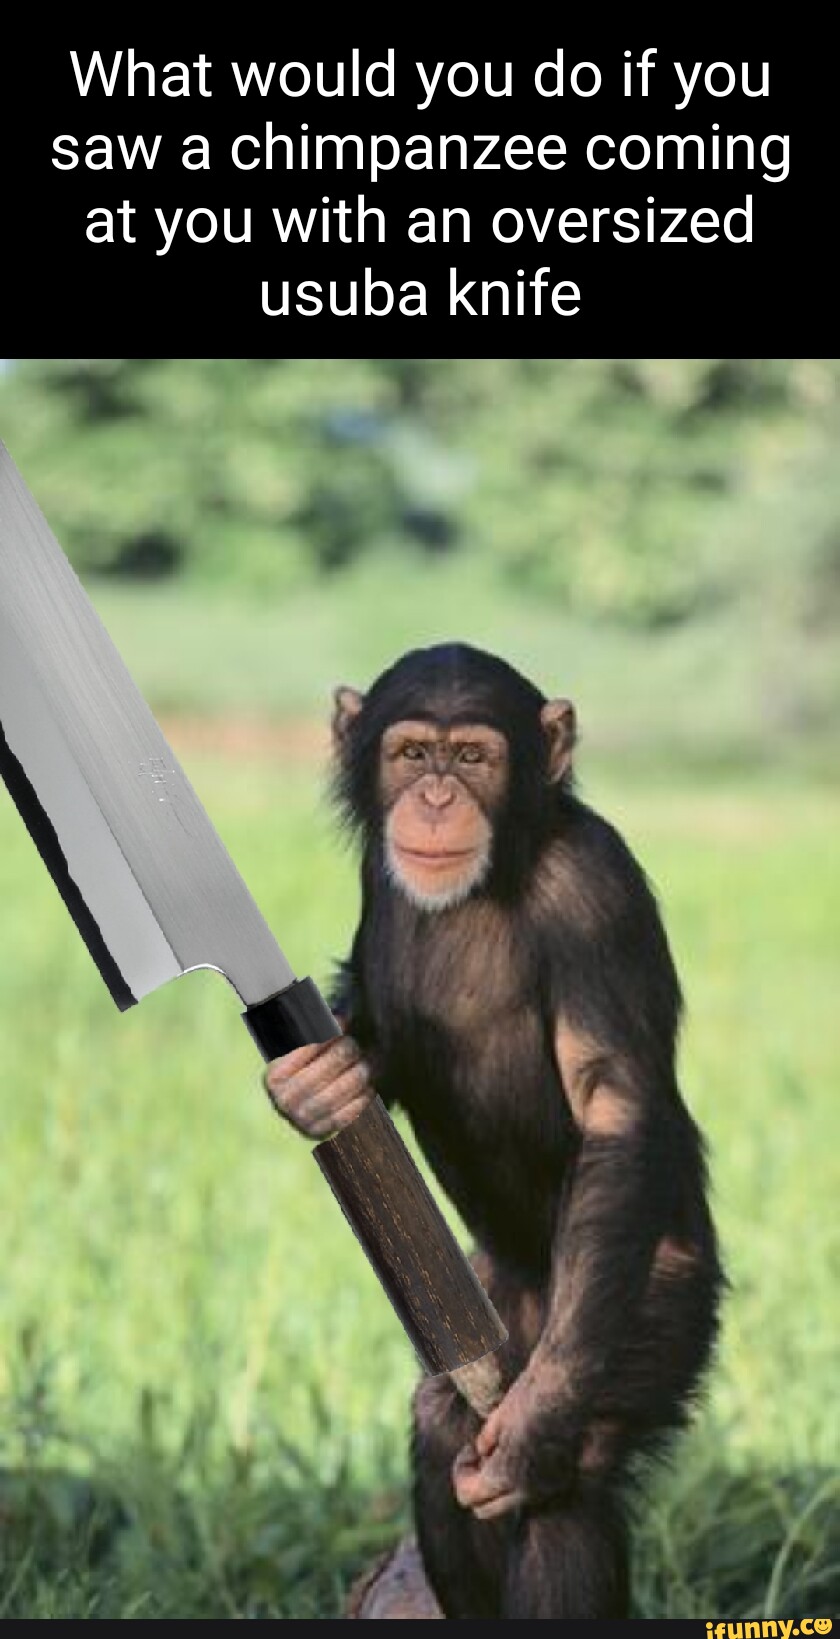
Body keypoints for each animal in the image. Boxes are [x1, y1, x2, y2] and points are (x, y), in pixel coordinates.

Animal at [264, 642, 724, 1619]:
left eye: (473, 757)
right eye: (411, 754)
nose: (438, 795)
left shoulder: (598, 892)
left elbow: (614, 1100)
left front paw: (535, 1425)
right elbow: (372, 1025)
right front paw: (315, 1083)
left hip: (648, 1297)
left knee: (560, 1495)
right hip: (486, 1302)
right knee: (444, 1423)